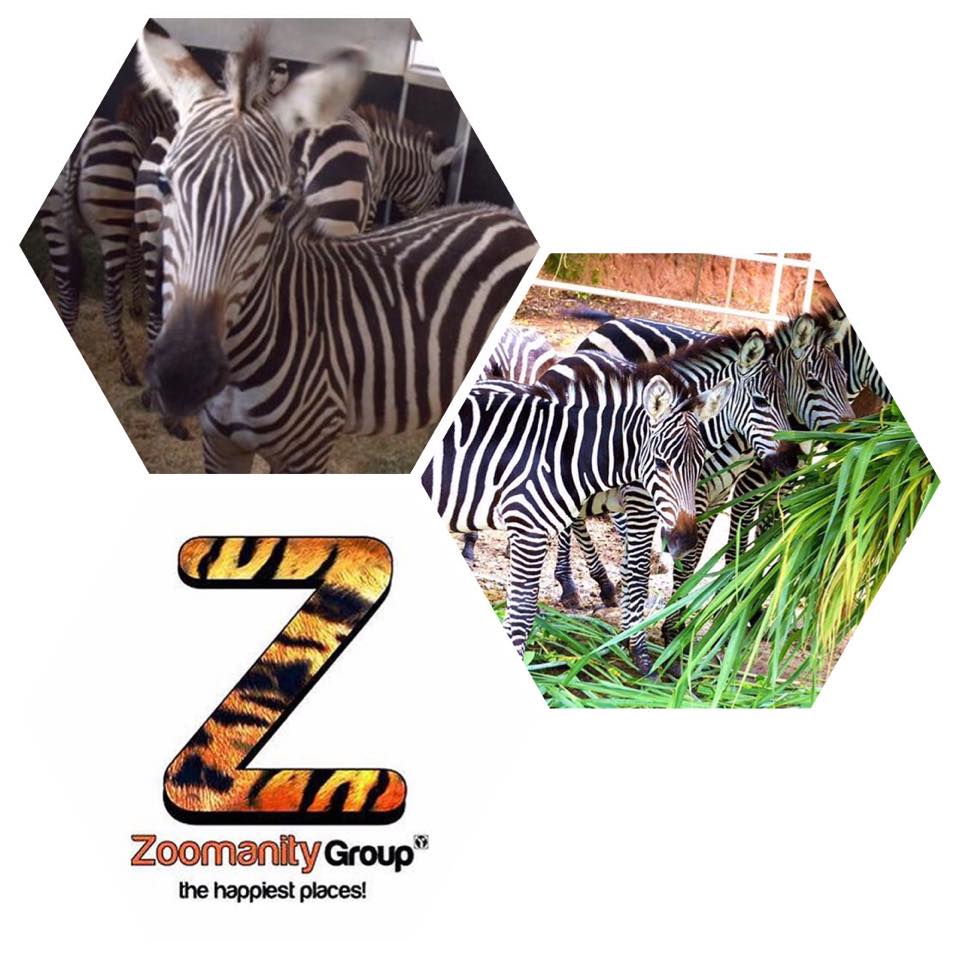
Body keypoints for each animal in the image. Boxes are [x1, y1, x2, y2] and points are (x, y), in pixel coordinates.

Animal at [37, 117, 145, 384]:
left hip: (55, 224)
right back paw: (129, 372)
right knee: (110, 307)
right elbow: (137, 260)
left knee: (66, 302)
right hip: (113, 223)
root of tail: (79, 151)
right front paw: (137, 307)